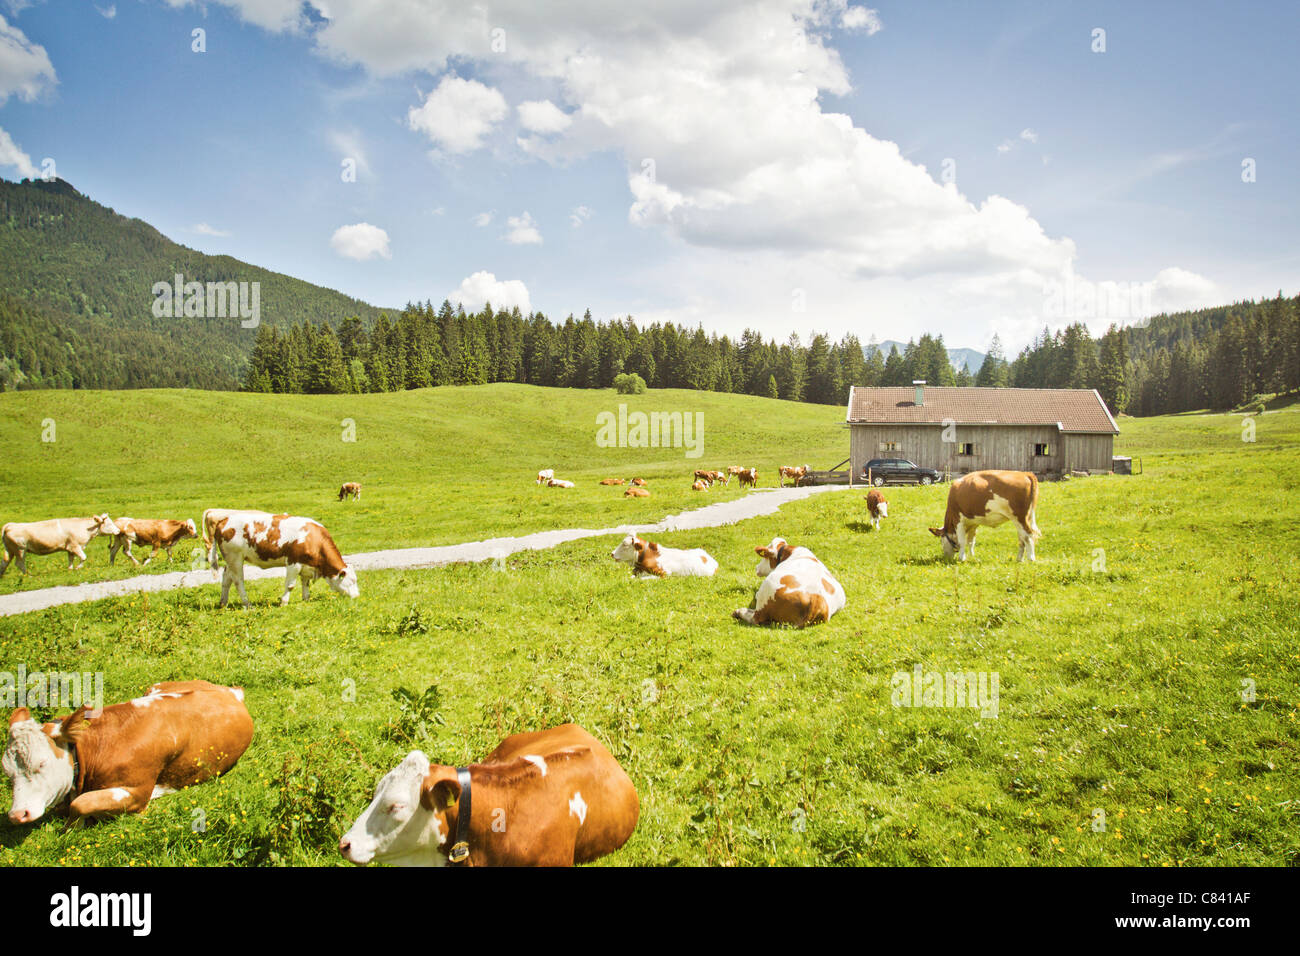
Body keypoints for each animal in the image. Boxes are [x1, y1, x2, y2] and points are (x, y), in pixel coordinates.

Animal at [4, 680, 253, 826]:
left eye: (42, 763)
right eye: (7, 771)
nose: (17, 814)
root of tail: (230, 692)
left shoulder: (137, 793)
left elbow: (80, 804)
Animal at [202, 509, 360, 608]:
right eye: (351, 581)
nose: (357, 596)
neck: (313, 538)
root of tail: (223, 520)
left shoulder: (306, 565)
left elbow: (305, 583)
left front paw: (306, 599)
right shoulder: (293, 562)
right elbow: (290, 585)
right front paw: (284, 602)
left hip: (230, 560)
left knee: (226, 579)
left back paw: (223, 602)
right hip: (235, 558)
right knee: (238, 581)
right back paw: (247, 604)